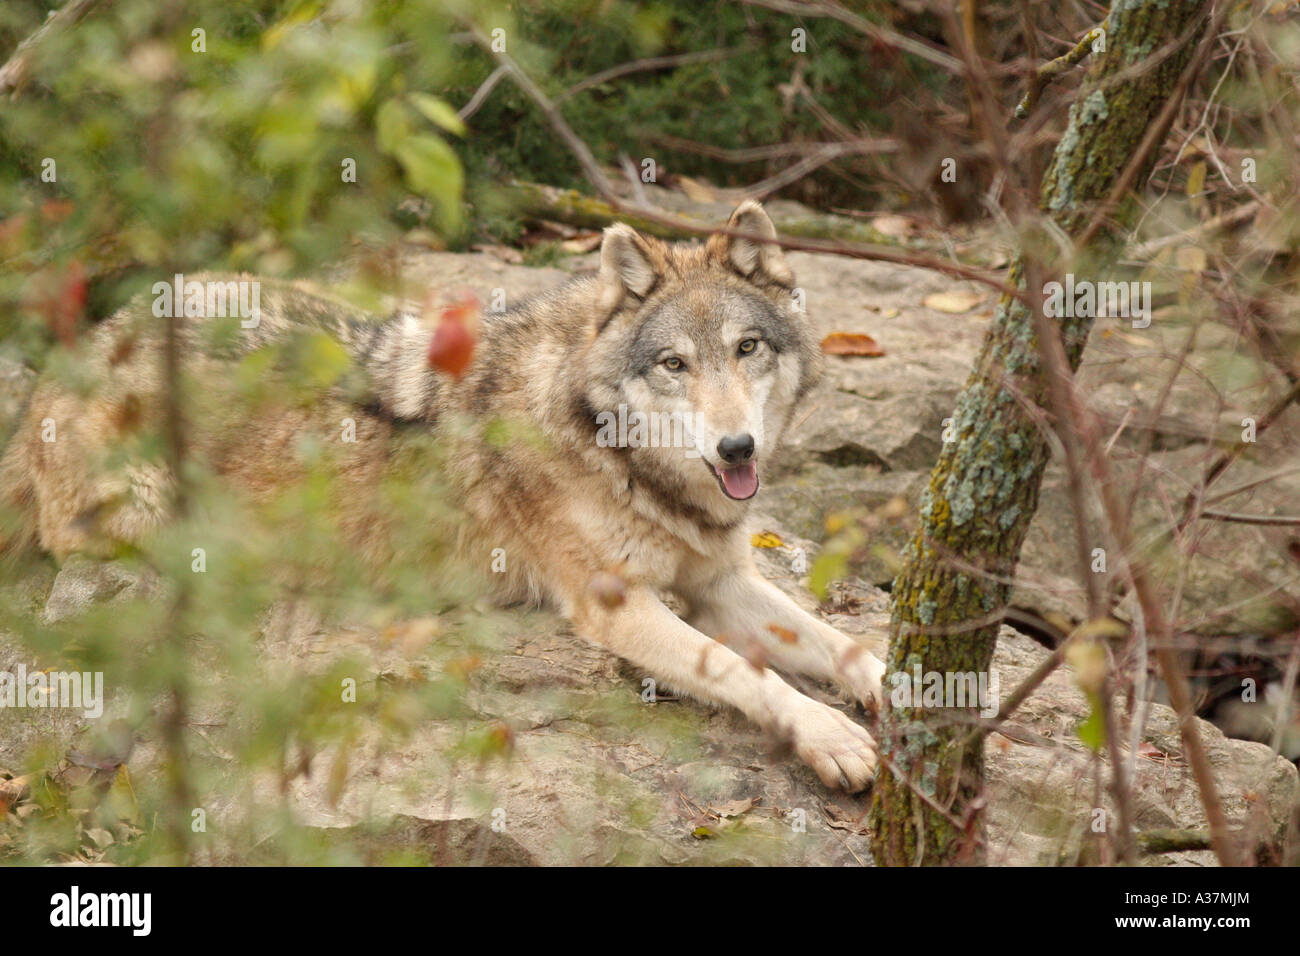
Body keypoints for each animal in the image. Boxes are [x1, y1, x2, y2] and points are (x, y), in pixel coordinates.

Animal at [0, 201, 885, 791]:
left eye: (747, 348)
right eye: (675, 364)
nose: (737, 449)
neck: (615, 450)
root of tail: (77, 355)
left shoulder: (723, 579)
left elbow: (841, 647)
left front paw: (900, 685)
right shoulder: (618, 606)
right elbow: (741, 670)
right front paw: (831, 735)